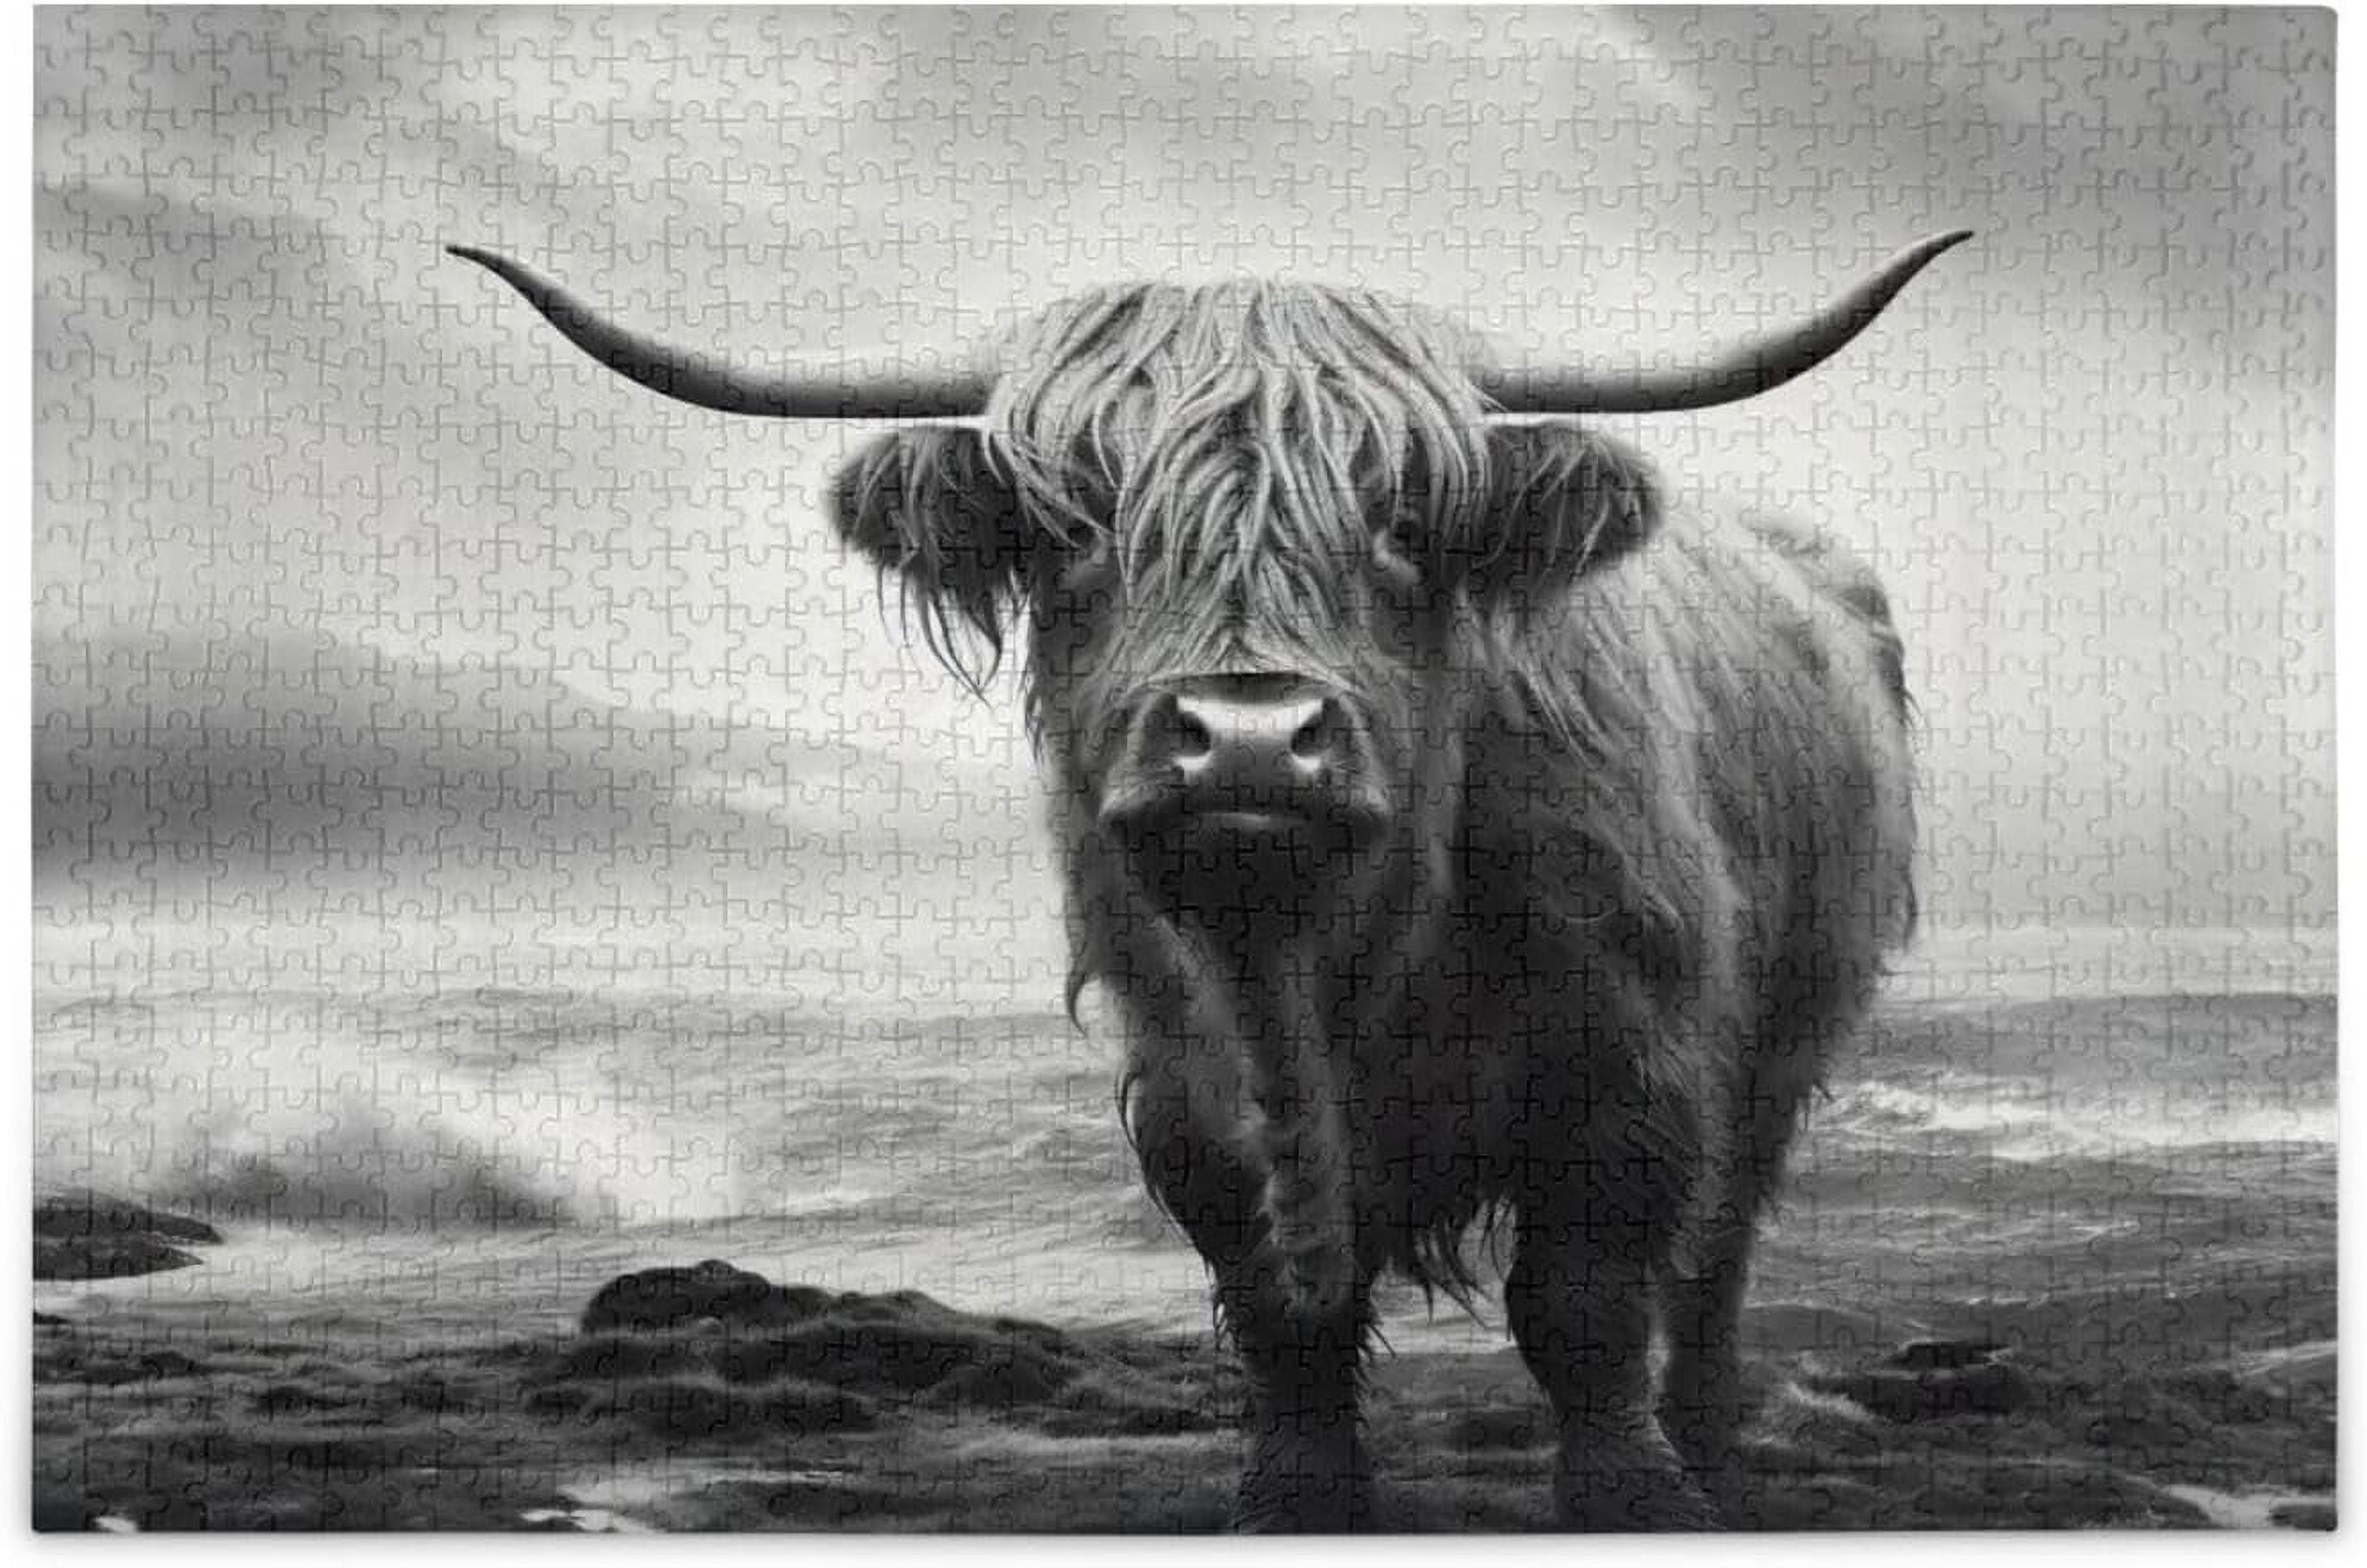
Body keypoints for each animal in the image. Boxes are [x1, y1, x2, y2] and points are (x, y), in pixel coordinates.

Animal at [451, 232, 1966, 1531]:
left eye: (1402, 522)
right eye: (1074, 530)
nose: (1246, 739)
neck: (1330, 961)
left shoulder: (1632, 1070)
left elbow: (1584, 1308)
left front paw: (1637, 1497)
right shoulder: (1187, 1083)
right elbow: (1287, 1318)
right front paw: (1295, 1502)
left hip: (1780, 1046)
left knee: (1716, 1258)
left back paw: (1714, 1452)